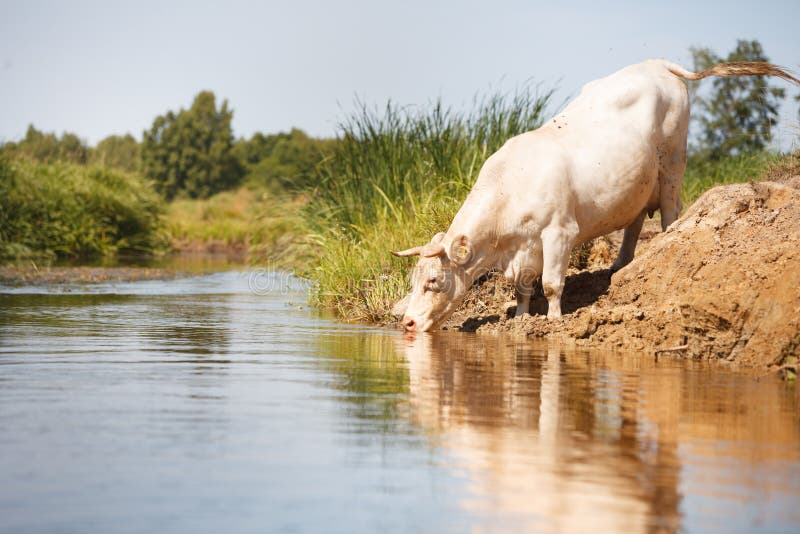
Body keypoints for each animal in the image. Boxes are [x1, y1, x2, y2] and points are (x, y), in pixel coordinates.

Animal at [392, 59, 800, 332]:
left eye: (433, 281)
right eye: (413, 280)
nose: (408, 323)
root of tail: (658, 64)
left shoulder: (560, 232)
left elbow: (551, 283)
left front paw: (553, 319)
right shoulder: (525, 247)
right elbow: (523, 285)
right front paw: (522, 318)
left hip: (673, 163)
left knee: (670, 210)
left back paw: (665, 241)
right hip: (638, 181)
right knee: (635, 220)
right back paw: (621, 264)